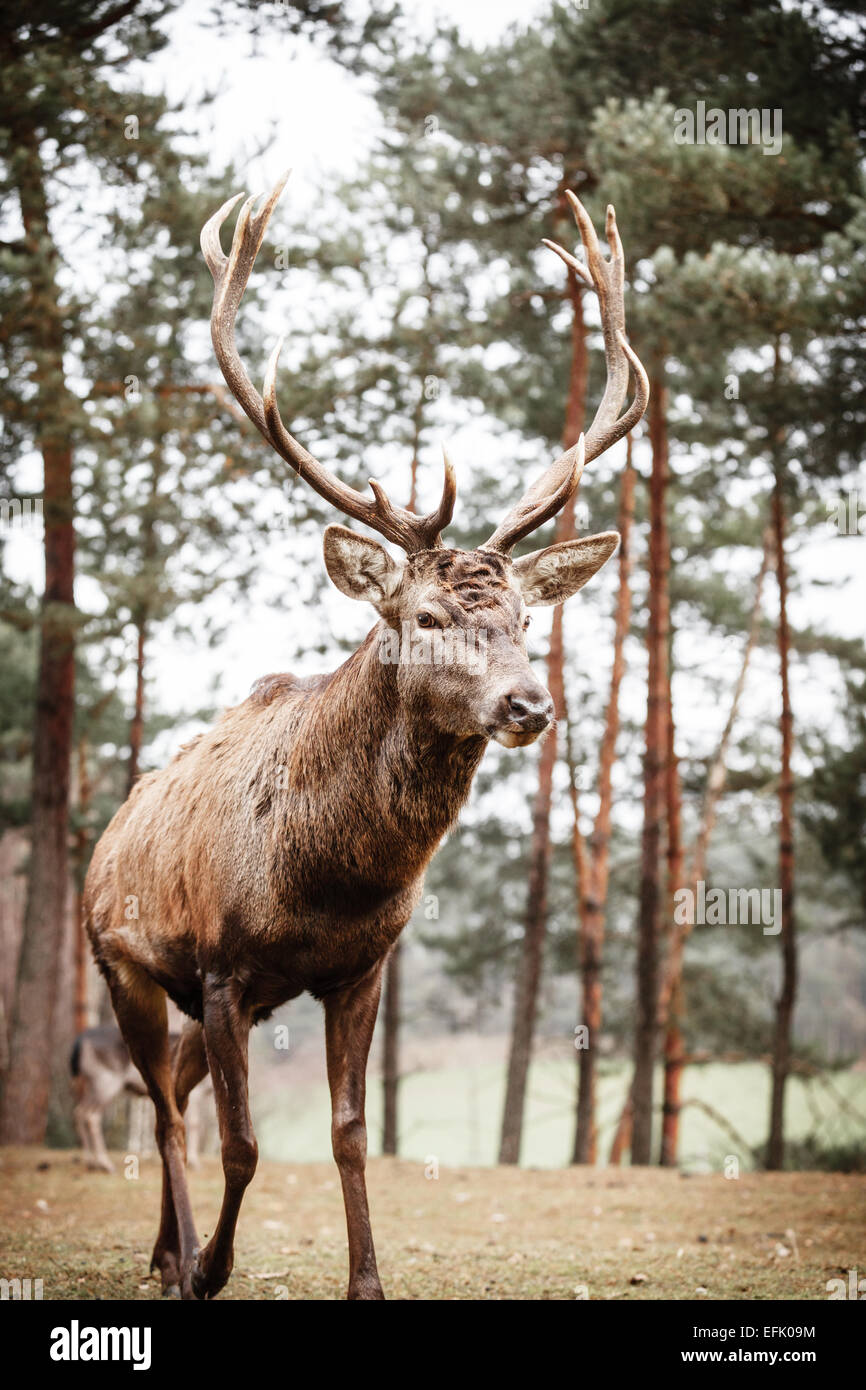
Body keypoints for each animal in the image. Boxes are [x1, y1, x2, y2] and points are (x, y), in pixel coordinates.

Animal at [83, 174, 648, 1301]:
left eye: (528, 620)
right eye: (424, 617)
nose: (529, 705)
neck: (325, 879)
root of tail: (107, 831)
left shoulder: (360, 968)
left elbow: (346, 1131)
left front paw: (367, 1282)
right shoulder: (220, 967)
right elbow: (245, 1143)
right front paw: (213, 1270)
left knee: (174, 1093)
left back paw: (162, 1249)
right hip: (122, 963)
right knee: (163, 1109)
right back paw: (176, 1260)